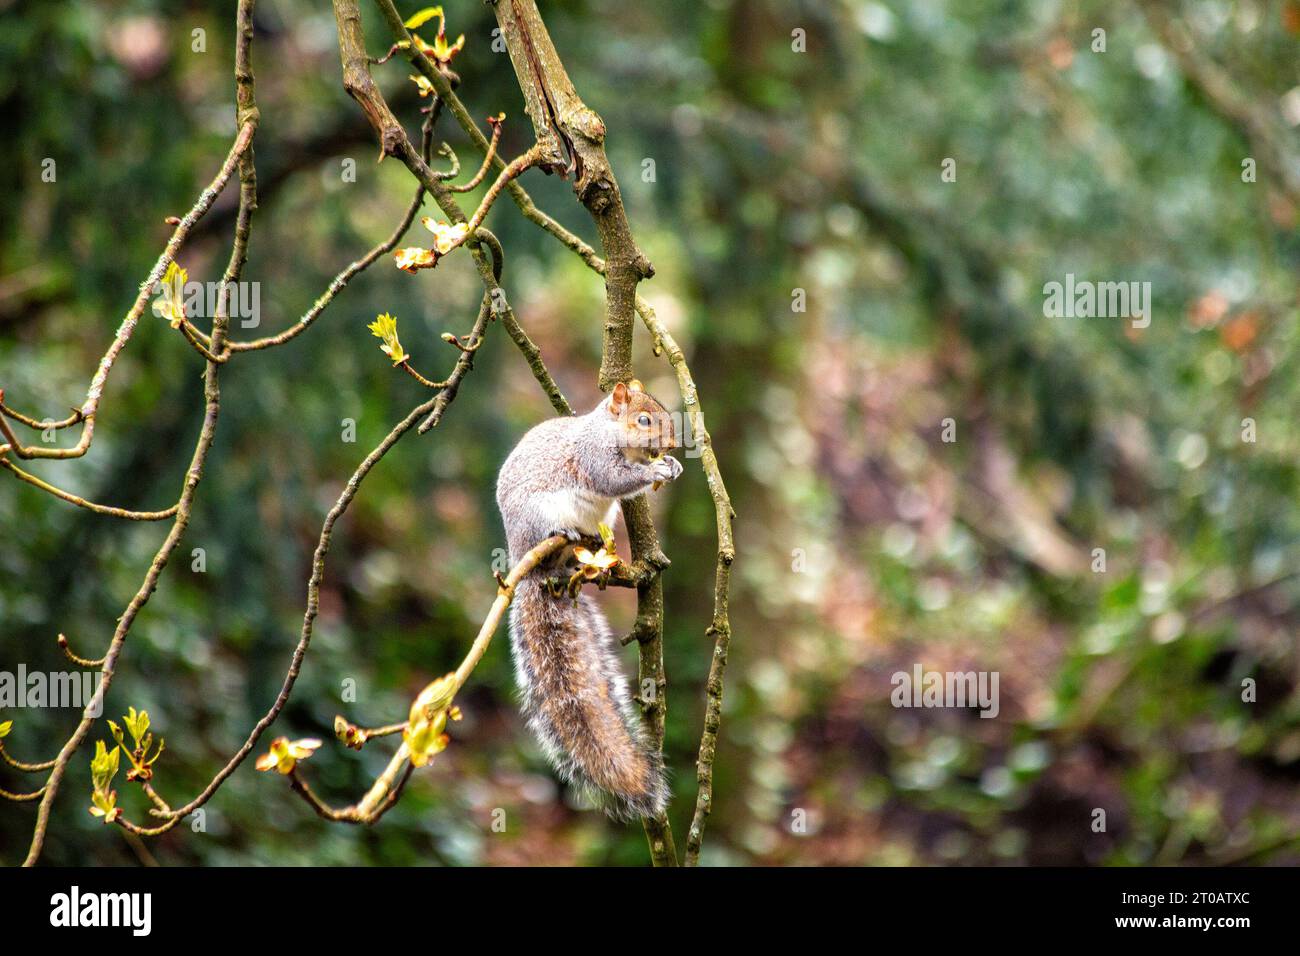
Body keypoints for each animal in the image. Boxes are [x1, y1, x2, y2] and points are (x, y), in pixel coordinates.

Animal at [496, 380, 684, 820]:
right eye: (644, 420)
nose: (672, 443)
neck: (611, 432)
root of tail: (528, 566)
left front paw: (671, 465)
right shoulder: (593, 456)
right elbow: (613, 478)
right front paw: (655, 470)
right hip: (538, 518)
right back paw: (563, 533)